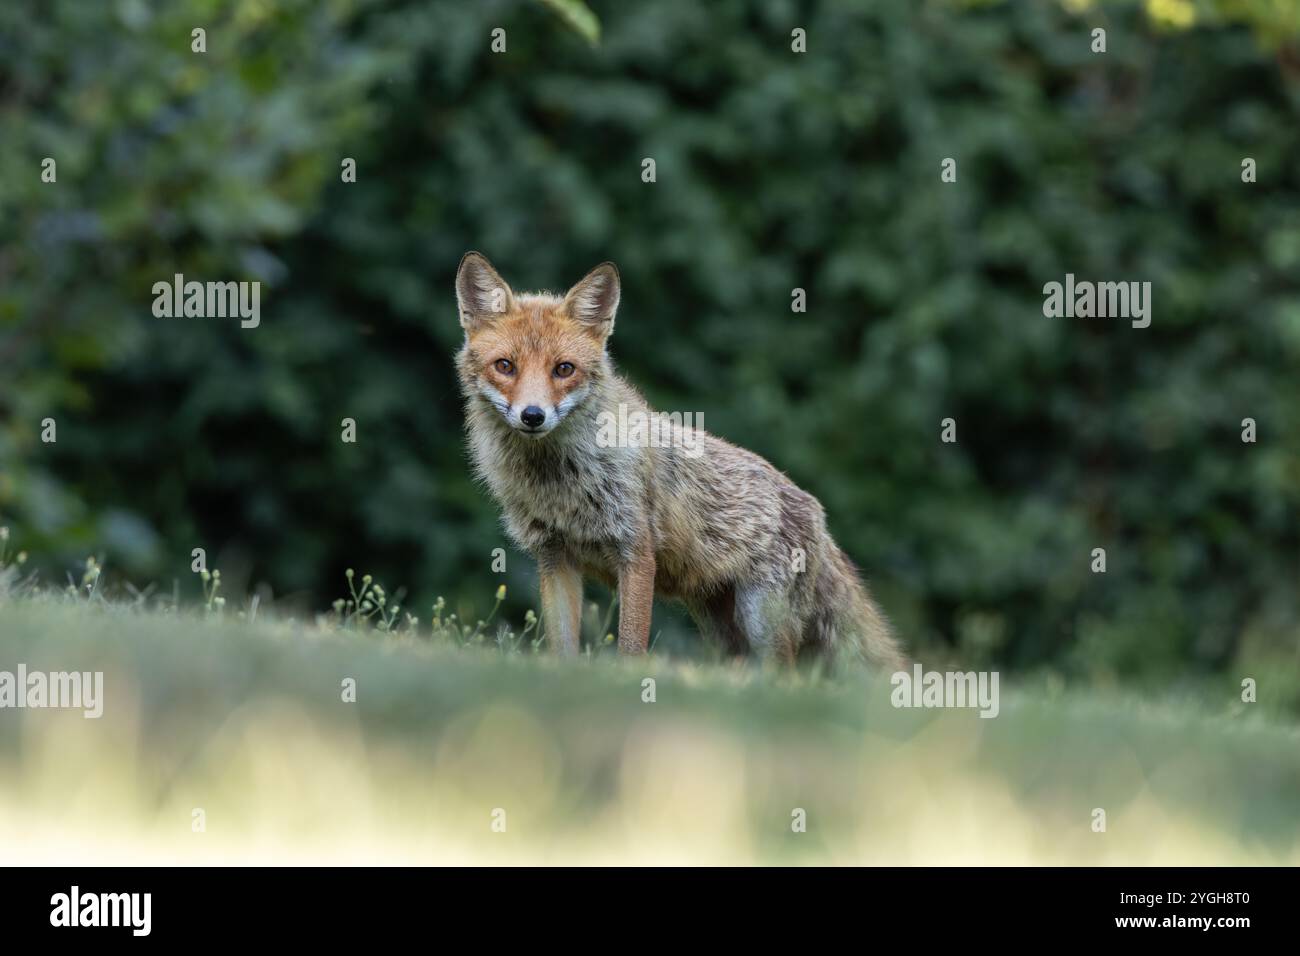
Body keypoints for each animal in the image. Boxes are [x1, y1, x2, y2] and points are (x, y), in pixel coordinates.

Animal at [454, 251, 905, 670]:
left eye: (564, 369)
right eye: (505, 366)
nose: (533, 416)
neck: (557, 479)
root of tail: (817, 515)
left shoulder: (636, 550)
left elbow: (631, 646)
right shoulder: (554, 556)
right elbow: (562, 649)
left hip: (761, 621)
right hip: (722, 631)